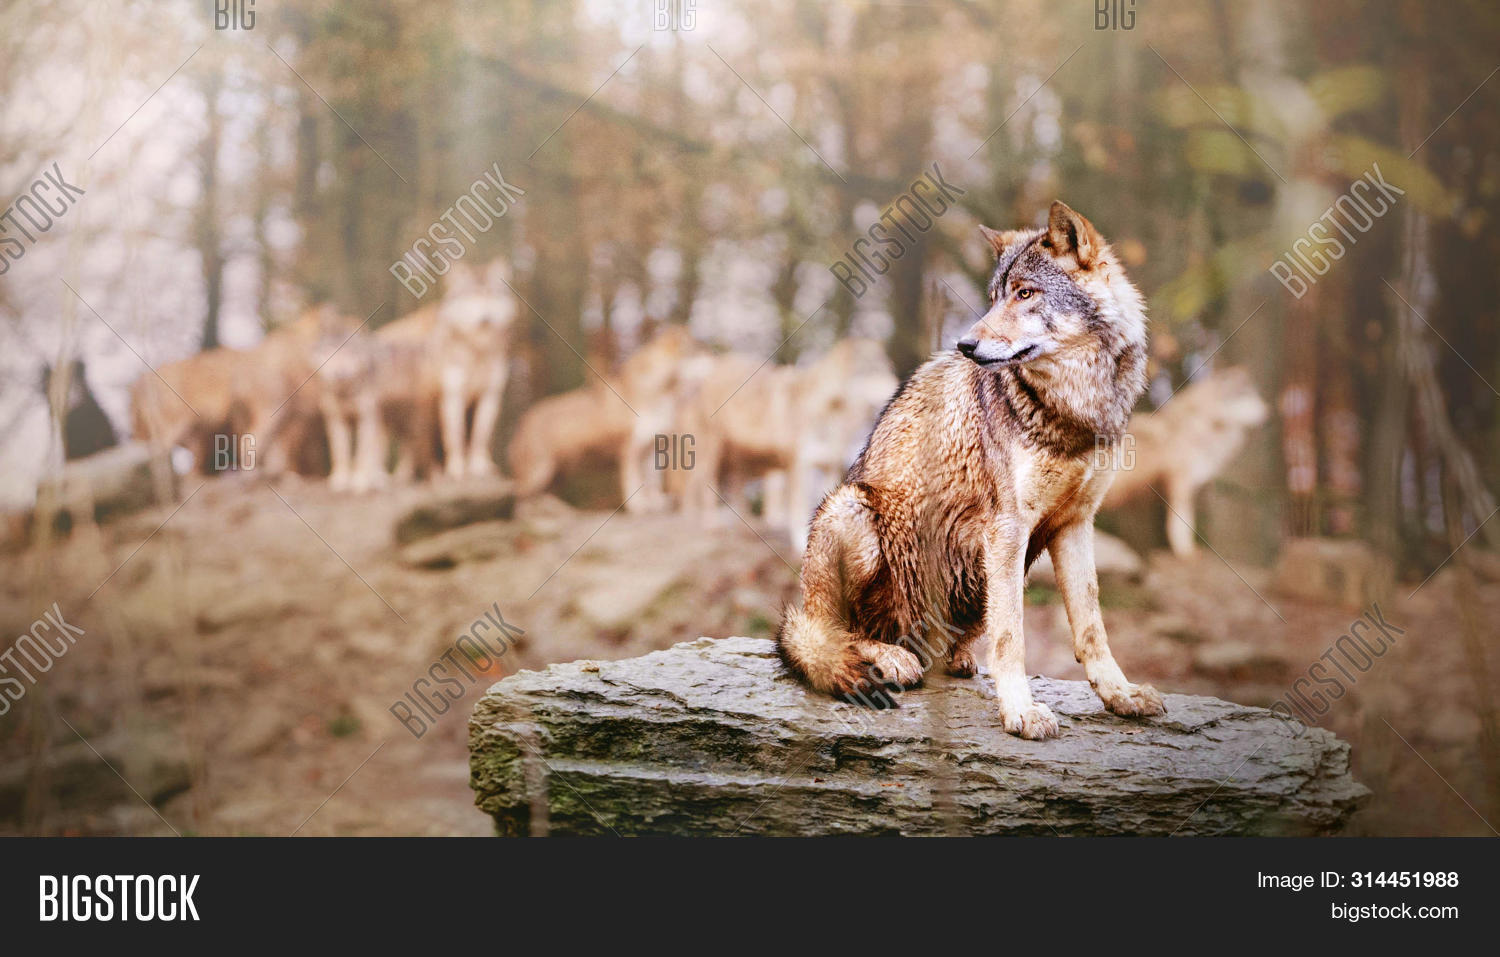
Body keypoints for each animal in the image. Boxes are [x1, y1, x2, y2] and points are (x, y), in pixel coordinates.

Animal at [776, 201, 1164, 739]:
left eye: (1025, 293)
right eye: (995, 297)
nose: (965, 343)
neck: (1073, 409)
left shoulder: (1075, 524)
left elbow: (1091, 628)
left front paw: (1120, 695)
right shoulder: (1007, 527)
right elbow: (1011, 636)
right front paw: (1021, 710)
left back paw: (952, 658)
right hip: (852, 509)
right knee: (831, 635)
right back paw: (891, 658)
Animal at [1103, 366, 1269, 556]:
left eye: (1256, 395)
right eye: (1246, 395)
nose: (1268, 412)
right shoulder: (1180, 487)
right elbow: (1181, 526)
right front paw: (1186, 553)